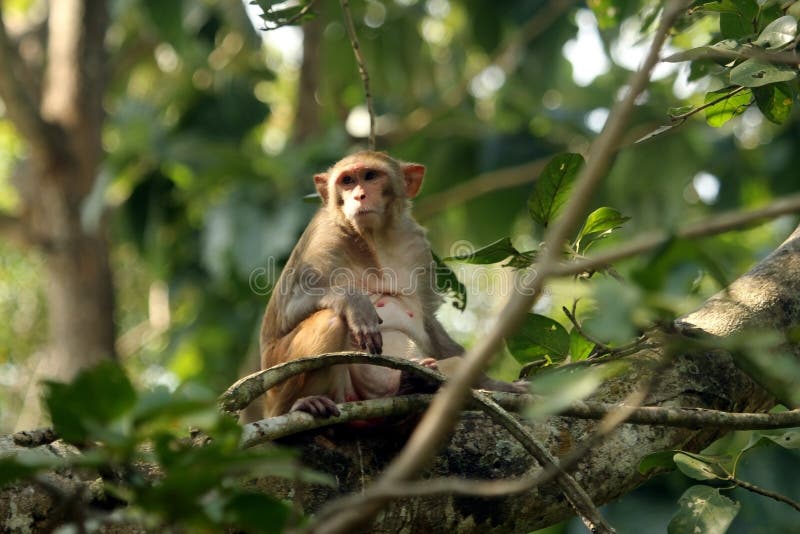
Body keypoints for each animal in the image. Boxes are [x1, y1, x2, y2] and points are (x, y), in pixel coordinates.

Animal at [260, 151, 524, 418]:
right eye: (347, 181)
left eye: (370, 176)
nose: (359, 195)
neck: (373, 238)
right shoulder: (323, 239)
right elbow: (290, 309)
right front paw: (355, 302)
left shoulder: (416, 245)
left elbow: (429, 321)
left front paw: (496, 385)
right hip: (279, 387)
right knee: (330, 320)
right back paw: (304, 403)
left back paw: (414, 383)